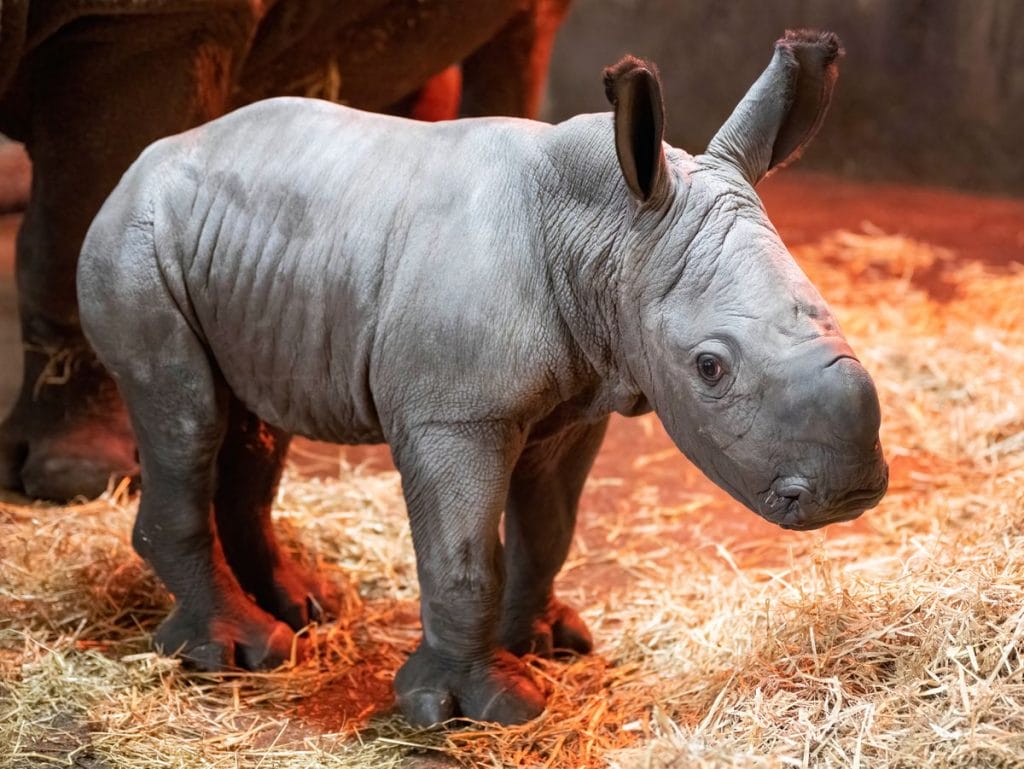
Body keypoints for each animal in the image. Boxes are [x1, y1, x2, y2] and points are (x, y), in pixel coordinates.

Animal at [77, 30, 888, 727]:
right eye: (710, 367)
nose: (847, 491)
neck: (614, 231)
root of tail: (142, 163)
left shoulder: (580, 399)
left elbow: (550, 530)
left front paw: (546, 644)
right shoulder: (453, 415)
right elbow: (463, 559)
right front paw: (483, 706)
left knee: (253, 422)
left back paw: (308, 606)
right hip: (136, 244)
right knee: (186, 416)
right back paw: (241, 651)